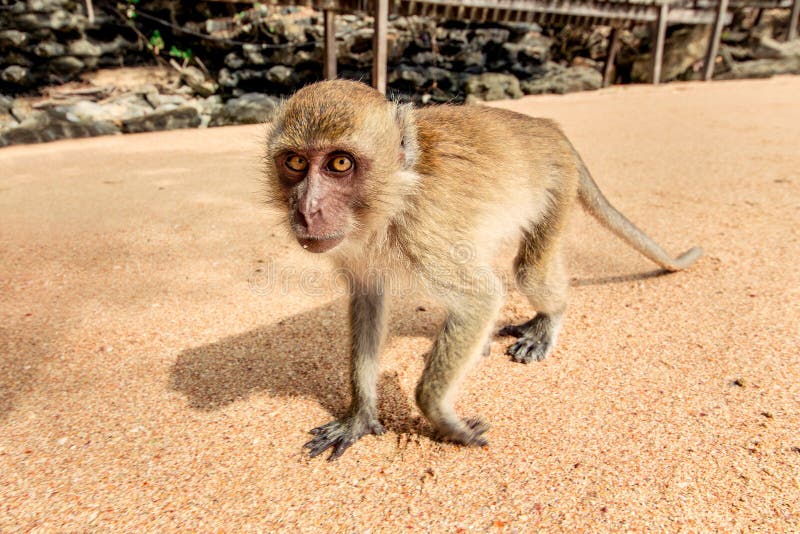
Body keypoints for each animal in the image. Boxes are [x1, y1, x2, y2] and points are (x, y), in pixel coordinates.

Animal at [262, 79, 701, 461]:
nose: (307, 210)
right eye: (296, 162)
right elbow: (368, 302)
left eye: (339, 163)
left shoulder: (423, 232)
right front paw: (360, 415)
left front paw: (441, 417)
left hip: (558, 184)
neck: (394, 197)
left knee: (529, 271)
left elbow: (480, 297)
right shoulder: (354, 249)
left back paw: (548, 320)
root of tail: (549, 127)